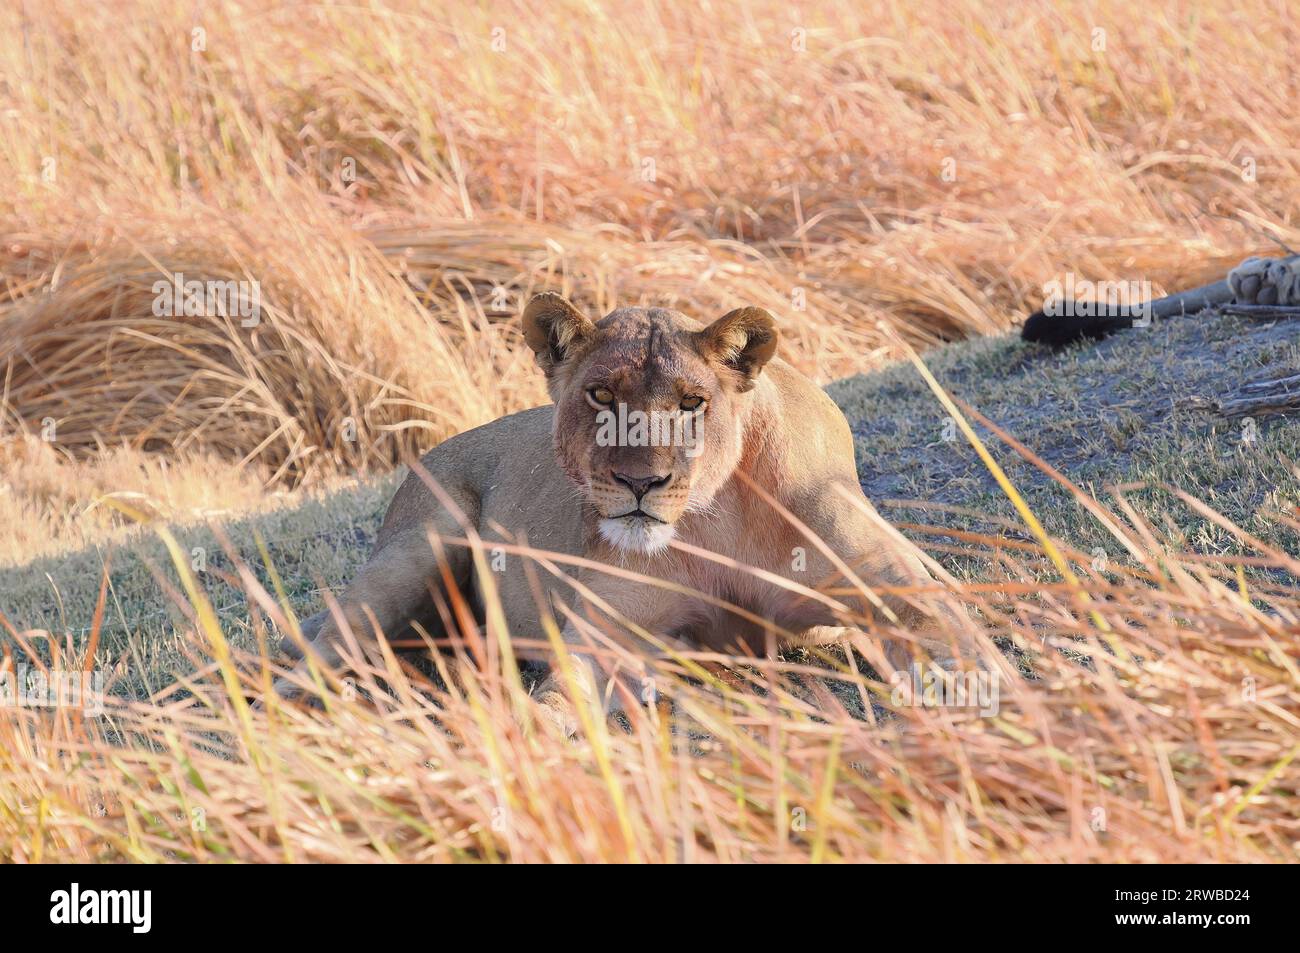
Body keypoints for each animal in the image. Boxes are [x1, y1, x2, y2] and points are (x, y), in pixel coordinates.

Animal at [275, 294, 972, 731]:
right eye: (601, 395)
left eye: (692, 403)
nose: (641, 482)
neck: (712, 521)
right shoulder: (607, 633)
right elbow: (562, 692)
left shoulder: (896, 582)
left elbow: (945, 635)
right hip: (422, 542)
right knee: (327, 647)